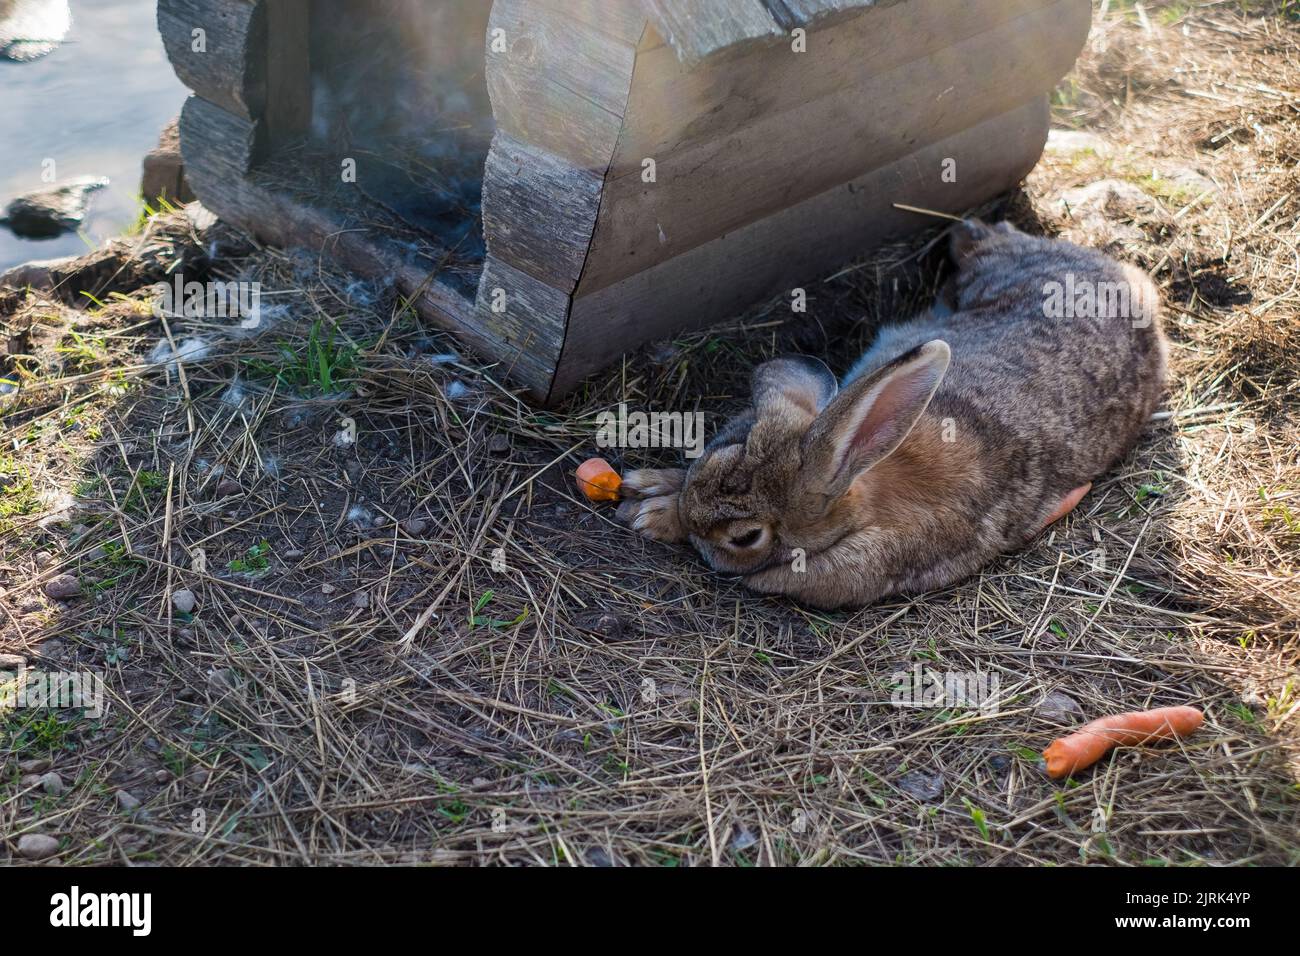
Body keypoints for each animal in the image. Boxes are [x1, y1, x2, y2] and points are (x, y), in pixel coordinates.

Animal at [617, 219, 1167, 609]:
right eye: (707, 464)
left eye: (745, 537)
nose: (690, 522)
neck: (863, 482)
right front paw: (653, 493)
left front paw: (652, 516)